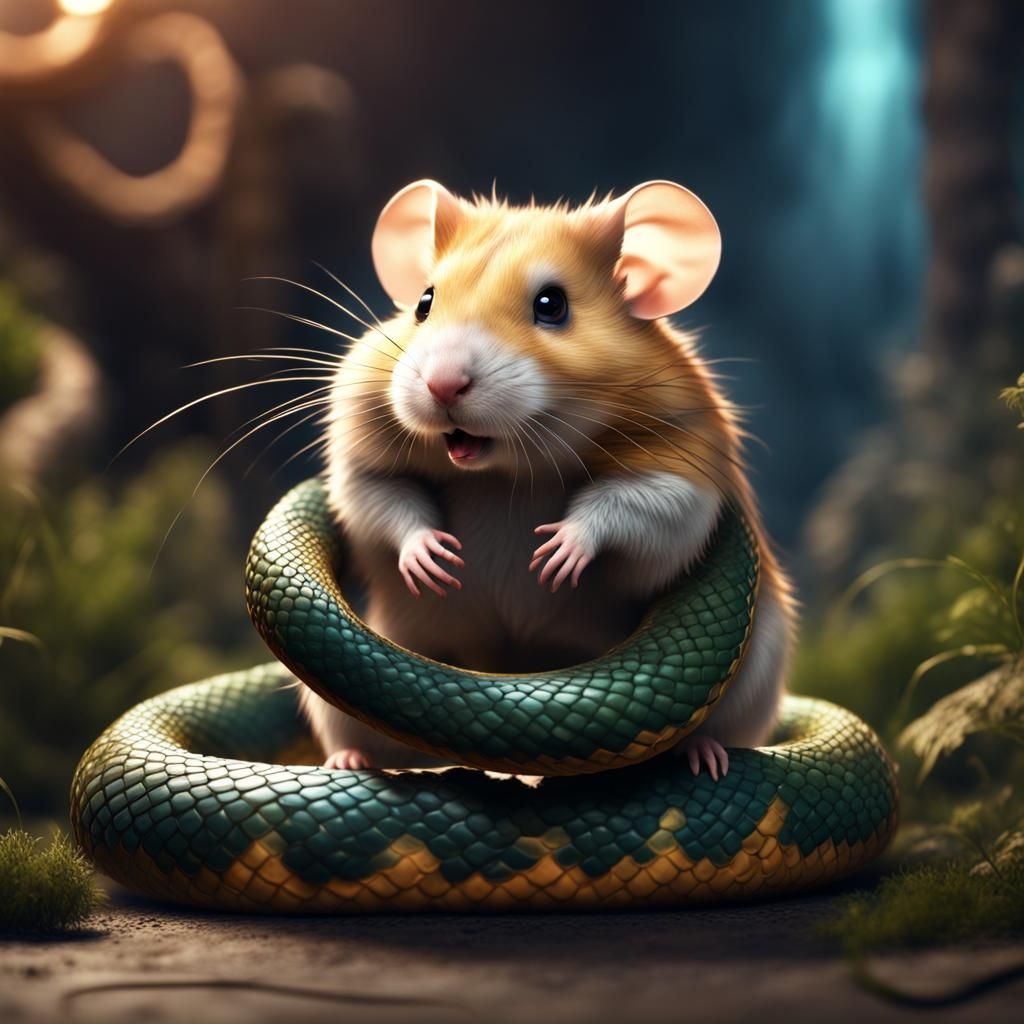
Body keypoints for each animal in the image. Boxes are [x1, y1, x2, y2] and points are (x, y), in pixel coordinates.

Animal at [301, 179, 796, 779]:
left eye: (551, 305)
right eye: (424, 302)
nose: (443, 385)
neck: (508, 471)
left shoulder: (685, 454)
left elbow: (652, 510)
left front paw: (563, 549)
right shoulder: (362, 435)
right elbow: (374, 494)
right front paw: (426, 554)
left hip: (757, 672)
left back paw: (702, 751)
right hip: (346, 695)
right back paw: (350, 759)